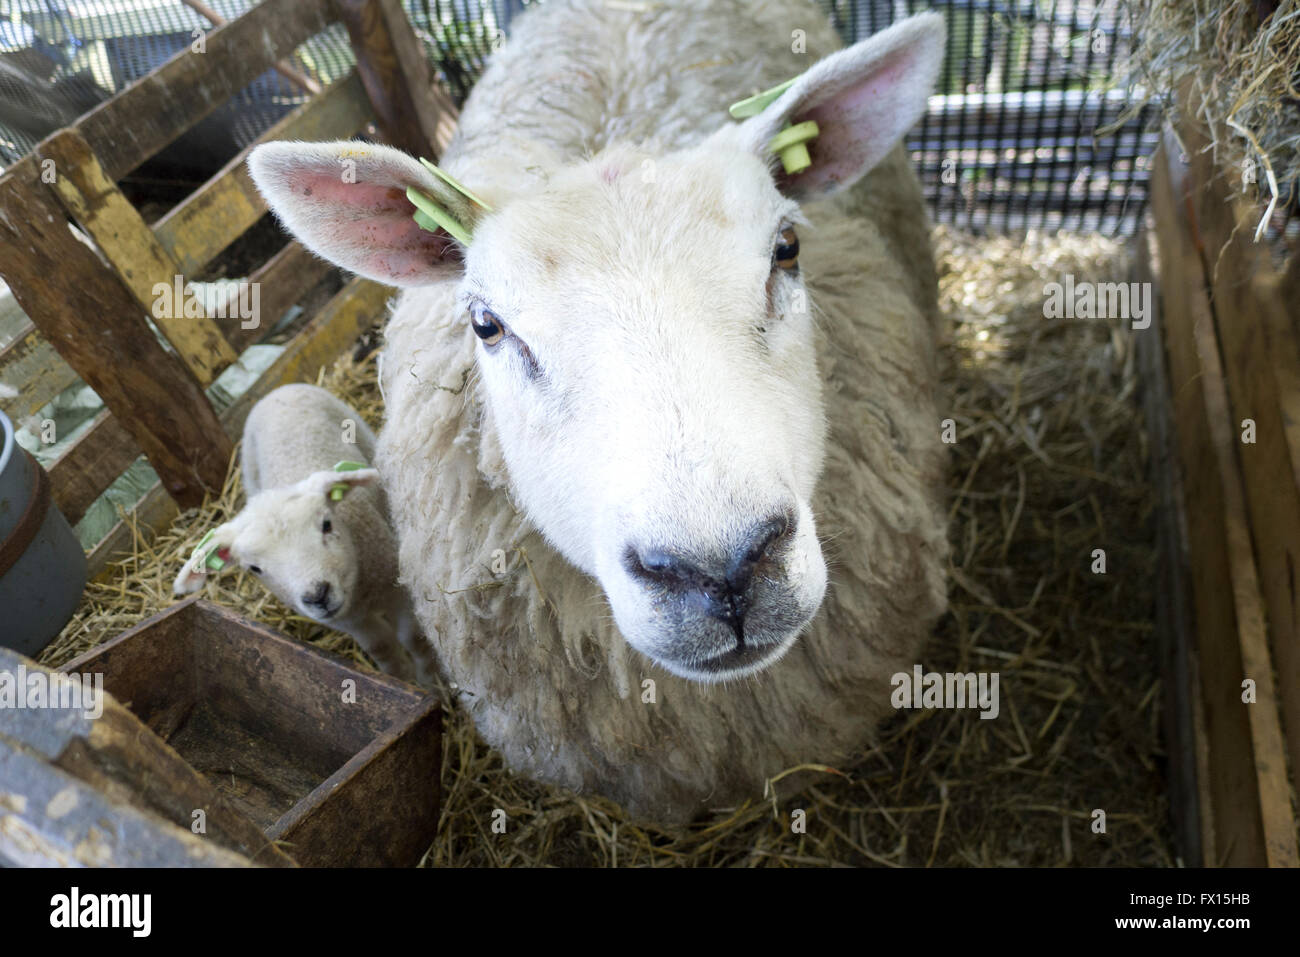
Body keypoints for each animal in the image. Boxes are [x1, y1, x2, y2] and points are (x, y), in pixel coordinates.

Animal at [173, 384, 435, 687]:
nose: (317, 595)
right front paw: (401, 680)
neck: (360, 592)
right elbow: (382, 648)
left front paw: (431, 683)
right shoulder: (349, 621)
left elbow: (414, 638)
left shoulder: (396, 589)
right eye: (254, 568)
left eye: (327, 525)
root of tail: (274, 392)